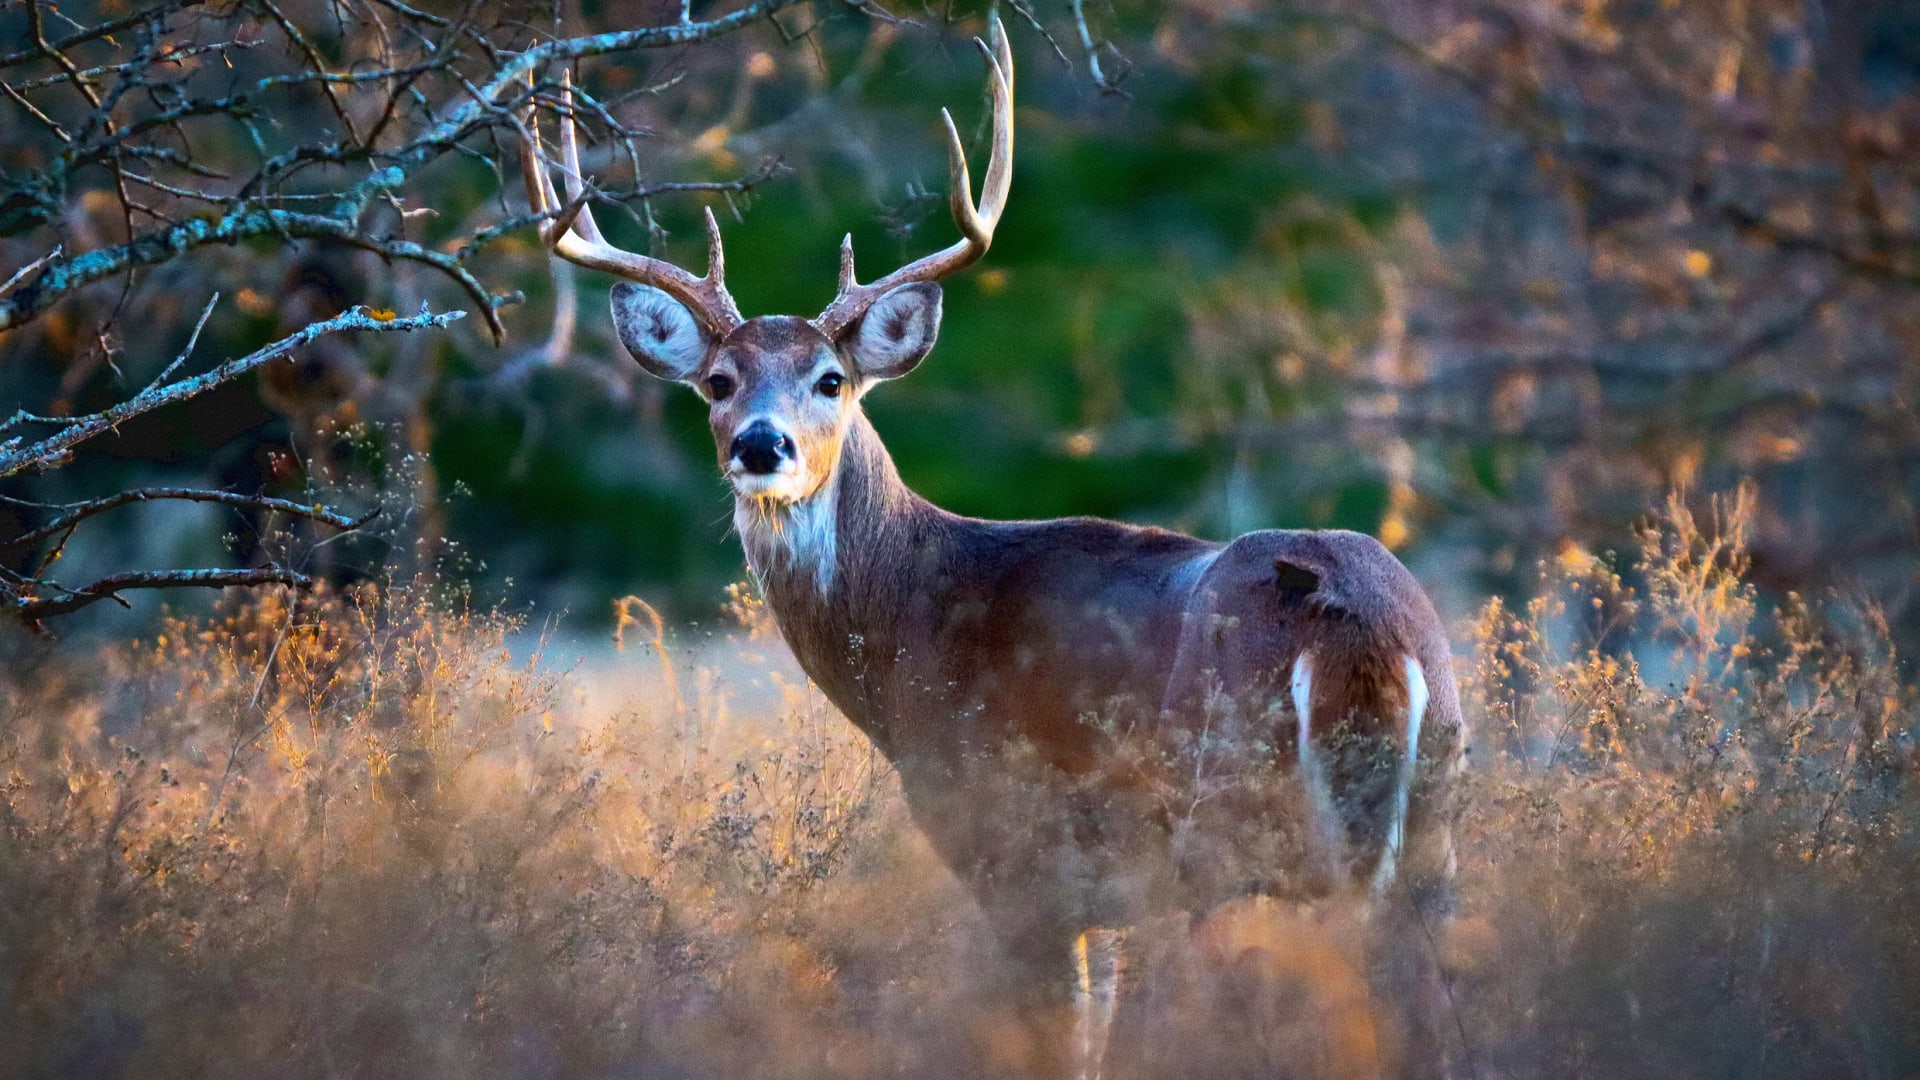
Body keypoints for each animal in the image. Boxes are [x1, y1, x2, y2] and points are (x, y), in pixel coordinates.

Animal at [520, 16, 1465, 1078]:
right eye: (719, 382)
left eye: (830, 379)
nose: (761, 446)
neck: (908, 628)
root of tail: (1357, 629)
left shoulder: (1019, 858)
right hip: (1429, 836)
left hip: (1227, 833)